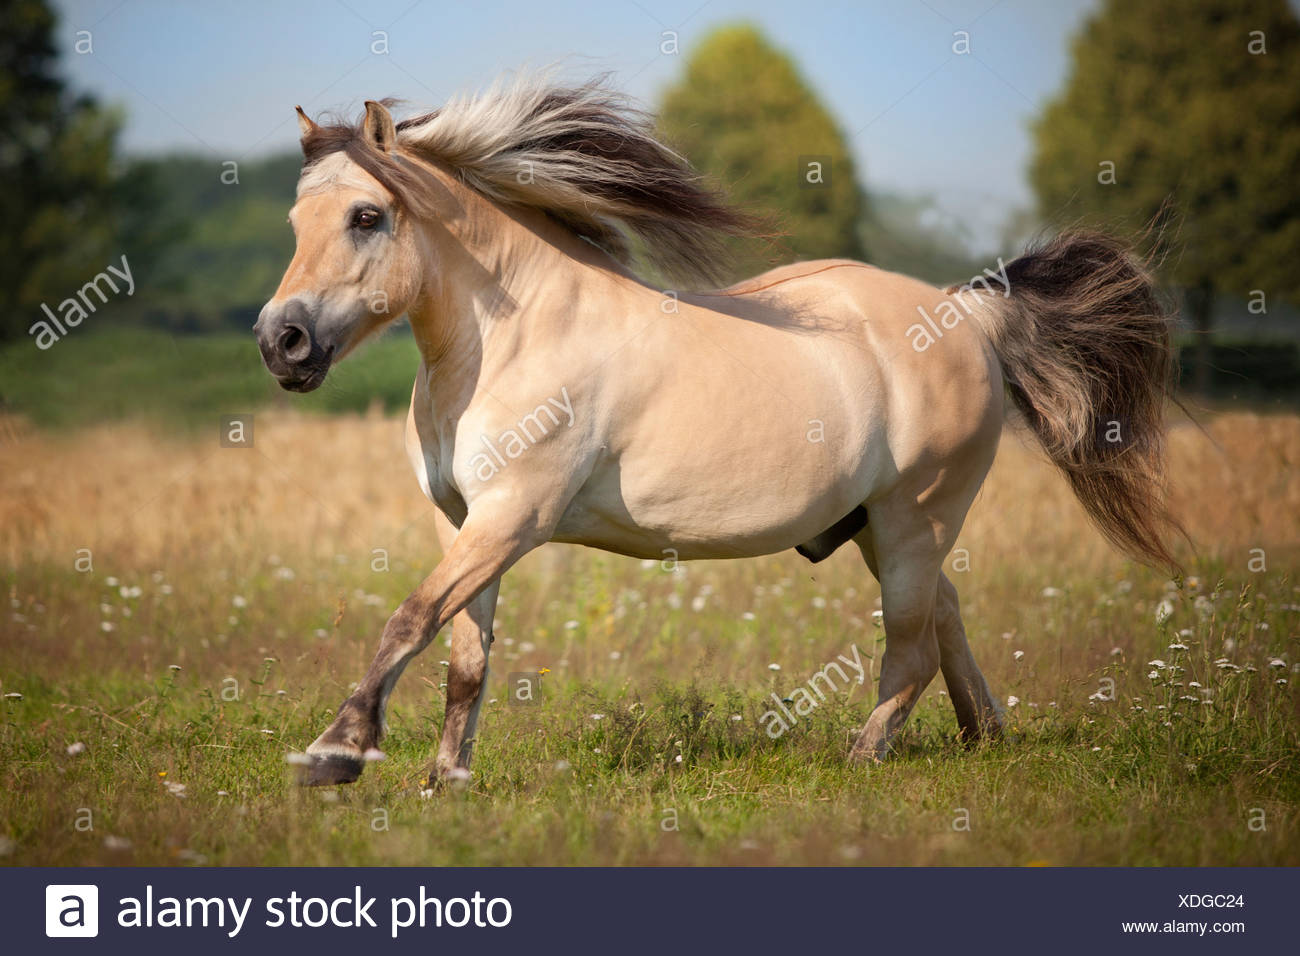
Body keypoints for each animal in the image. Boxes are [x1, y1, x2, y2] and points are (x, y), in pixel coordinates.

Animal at [255, 77, 1181, 787]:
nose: (280, 341)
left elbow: (409, 620)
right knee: (945, 620)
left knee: (911, 649)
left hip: (915, 520)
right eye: (296, 226)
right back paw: (984, 736)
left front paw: (336, 754)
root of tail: (969, 312)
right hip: (878, 527)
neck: (513, 336)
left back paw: (861, 760)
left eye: (367, 217)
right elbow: (466, 660)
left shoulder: (514, 517)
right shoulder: (468, 524)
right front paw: (446, 781)